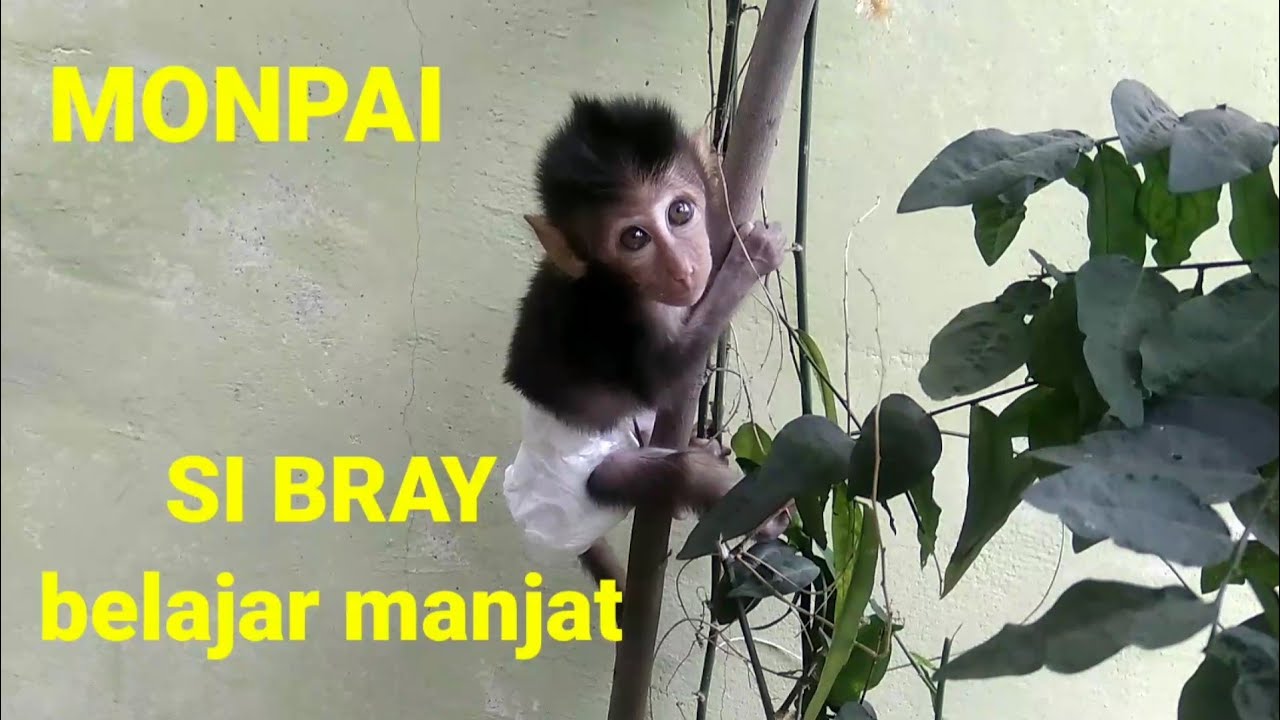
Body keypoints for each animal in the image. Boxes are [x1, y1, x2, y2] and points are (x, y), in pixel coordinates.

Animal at [499, 94, 793, 591]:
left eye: (680, 212)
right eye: (634, 238)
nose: (683, 269)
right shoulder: (624, 317)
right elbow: (662, 379)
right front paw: (747, 263)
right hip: (596, 483)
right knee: (675, 471)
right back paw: (763, 517)